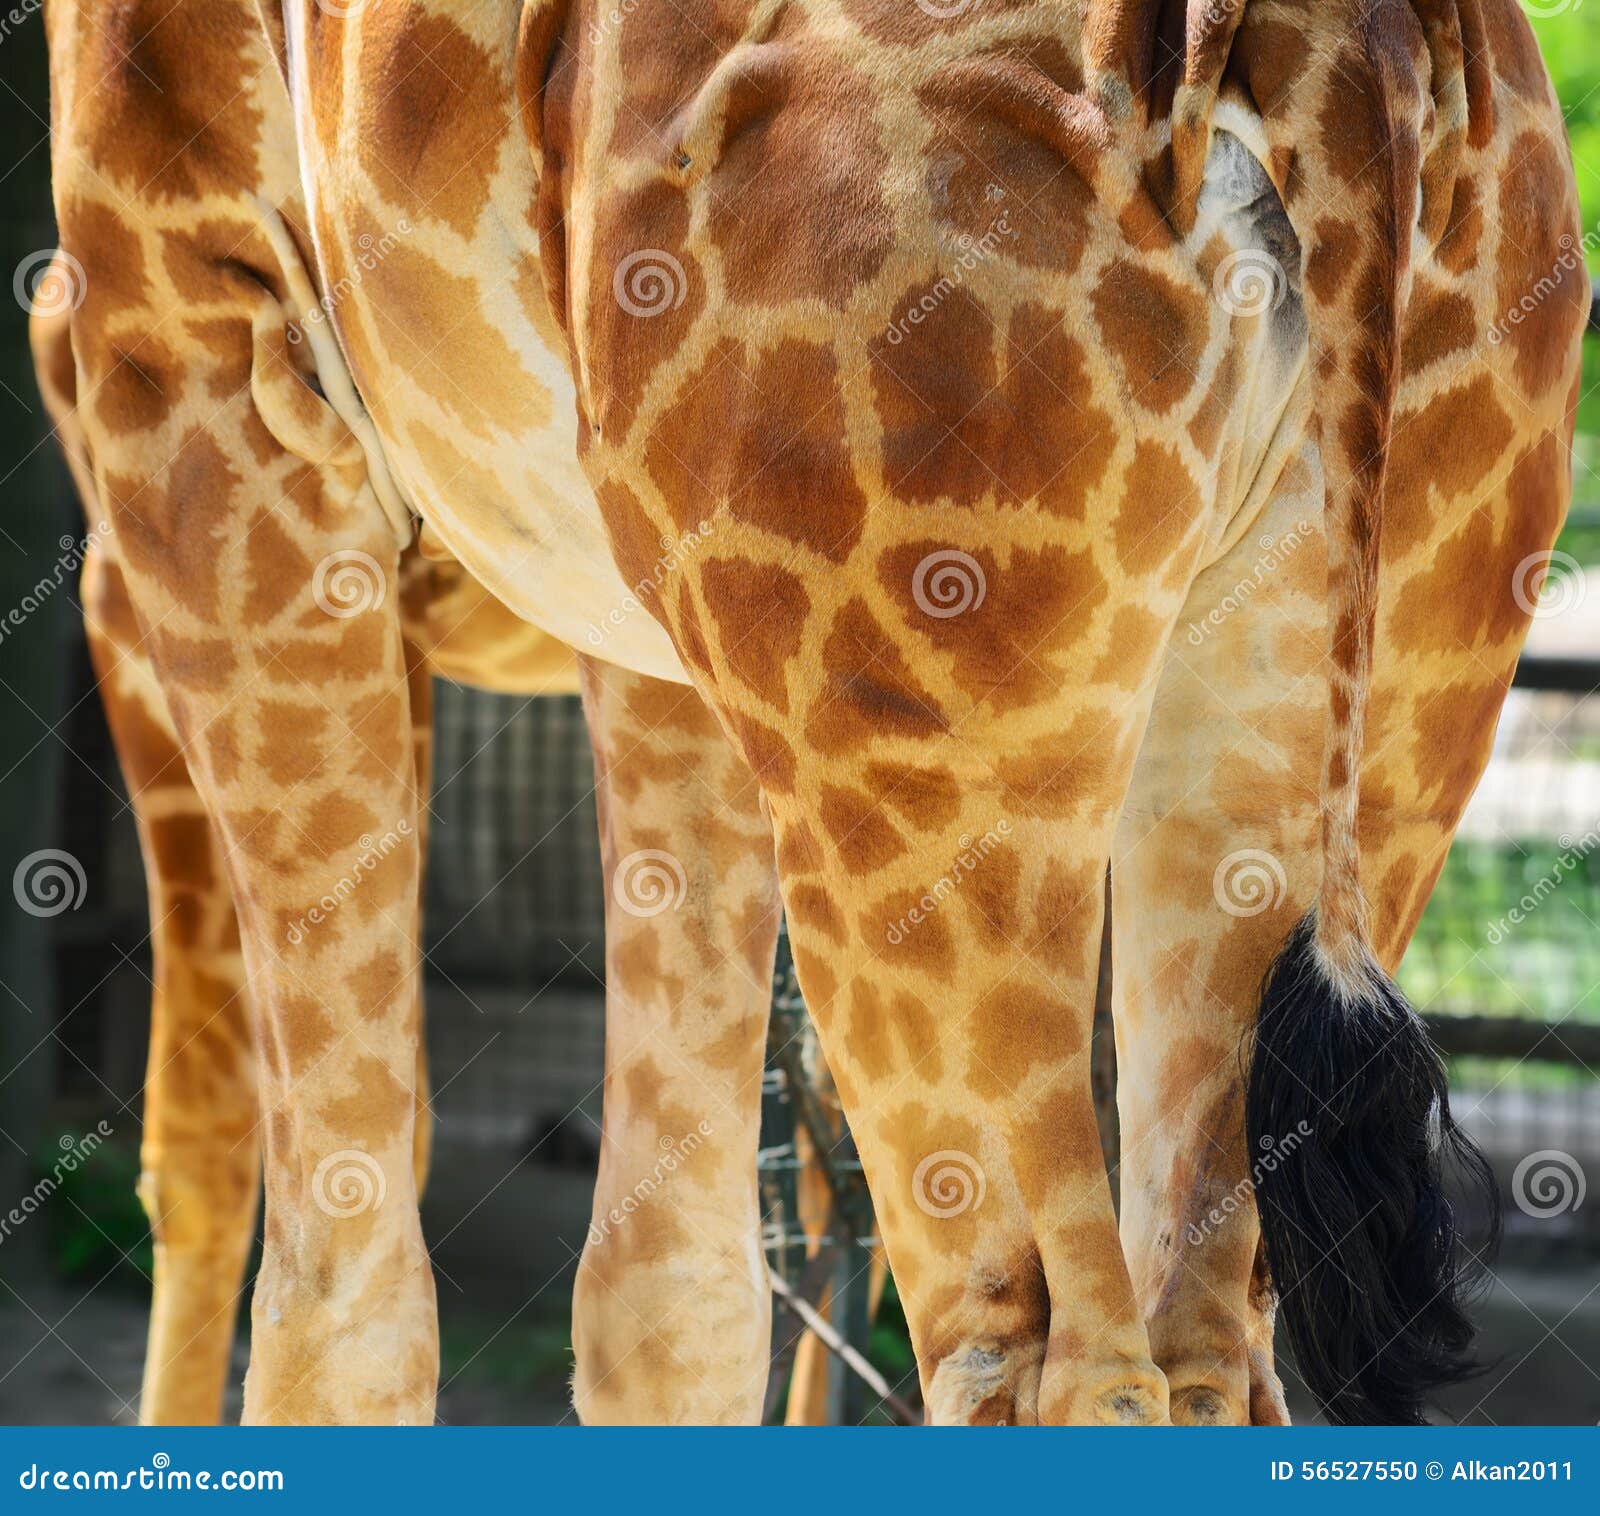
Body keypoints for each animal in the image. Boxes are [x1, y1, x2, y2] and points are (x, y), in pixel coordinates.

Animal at [43, 0, 1586, 1426]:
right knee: (1205, 1344)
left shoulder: (186, 378)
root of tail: (1339, 43)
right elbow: (668, 1291)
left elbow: (302, 1245)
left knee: (1045, 1358)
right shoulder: (642, 640)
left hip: (894, 746)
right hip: (1358, 699)